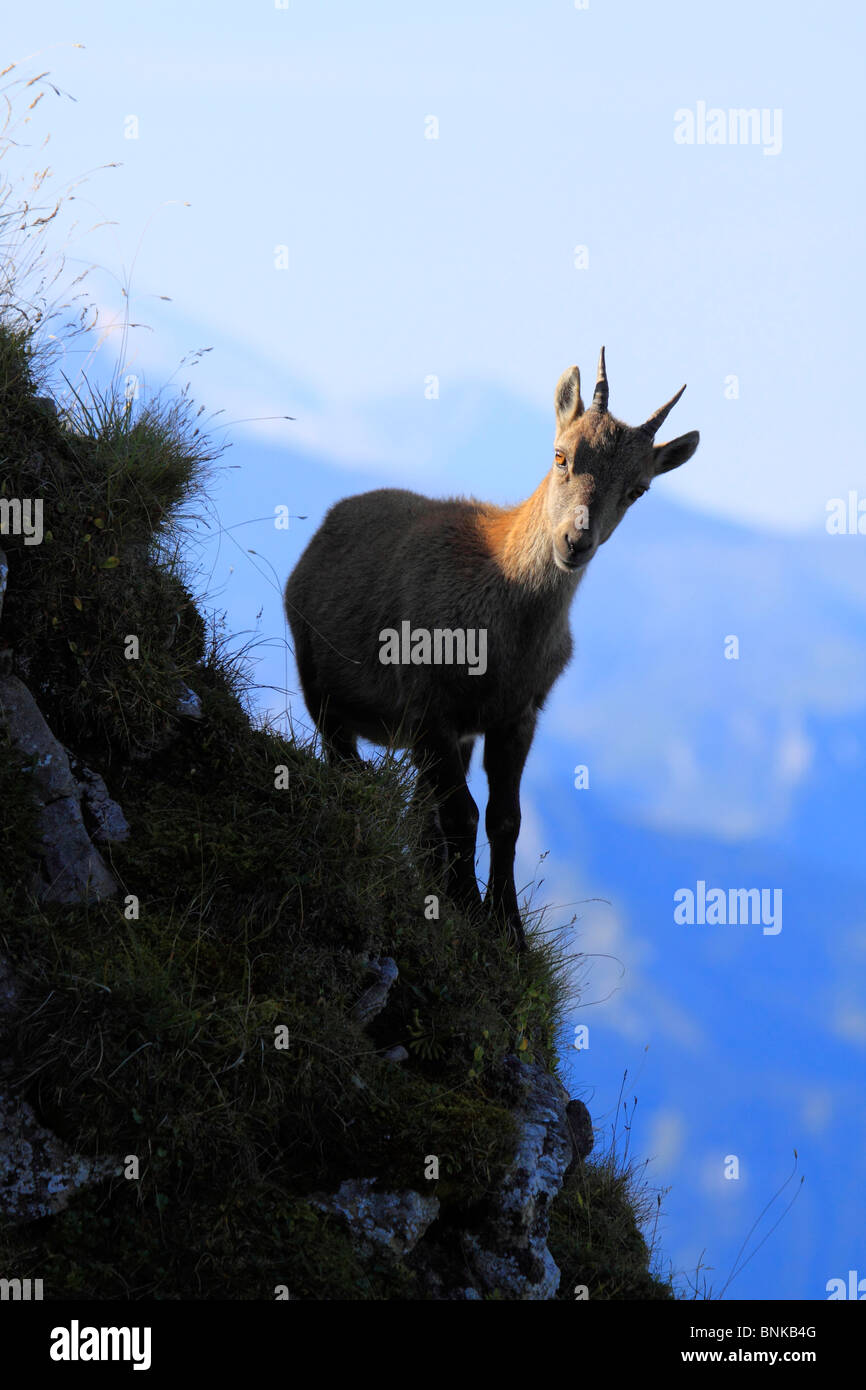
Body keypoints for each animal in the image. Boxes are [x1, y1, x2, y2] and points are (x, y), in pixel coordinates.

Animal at [285, 350, 699, 950]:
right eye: (561, 455)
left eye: (637, 489)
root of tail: (325, 529)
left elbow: (505, 817)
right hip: (323, 691)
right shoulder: (430, 708)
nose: (575, 541)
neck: (504, 603)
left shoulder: (516, 716)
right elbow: (460, 811)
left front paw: (508, 929)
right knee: (351, 764)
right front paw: (464, 908)